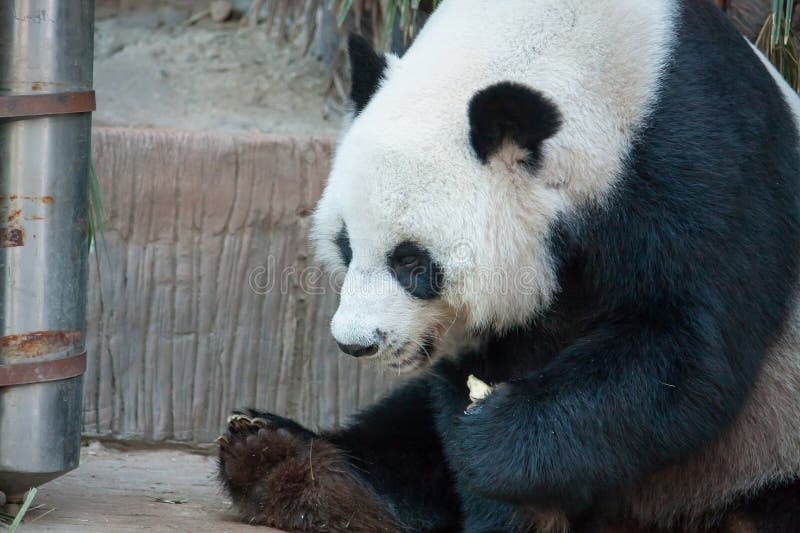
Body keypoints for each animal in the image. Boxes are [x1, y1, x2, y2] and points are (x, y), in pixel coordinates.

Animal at [218, 0, 800, 531]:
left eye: (410, 260)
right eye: (345, 245)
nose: (356, 342)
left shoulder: (701, 158)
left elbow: (684, 349)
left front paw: (493, 443)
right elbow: (472, 371)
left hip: (764, 443)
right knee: (405, 433)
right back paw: (283, 463)